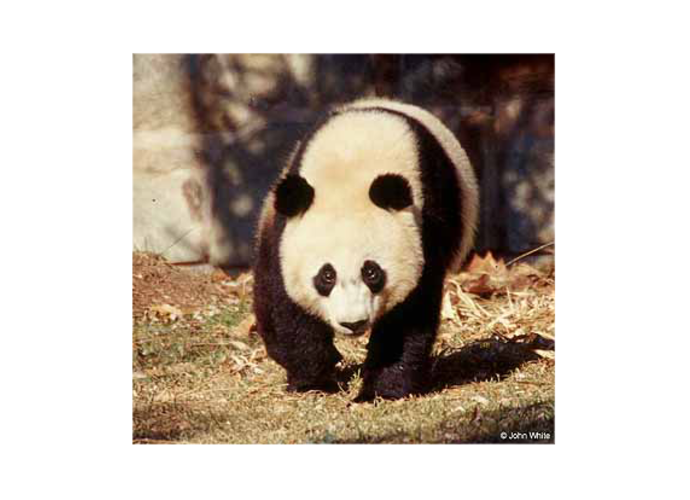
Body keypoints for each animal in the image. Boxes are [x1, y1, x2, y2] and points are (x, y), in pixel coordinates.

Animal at [253, 98, 479, 402]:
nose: (353, 323)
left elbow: (409, 312)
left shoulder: (426, 224)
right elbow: (288, 302)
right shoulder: (286, 232)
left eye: (372, 272)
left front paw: (381, 389)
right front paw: (314, 380)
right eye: (326, 276)